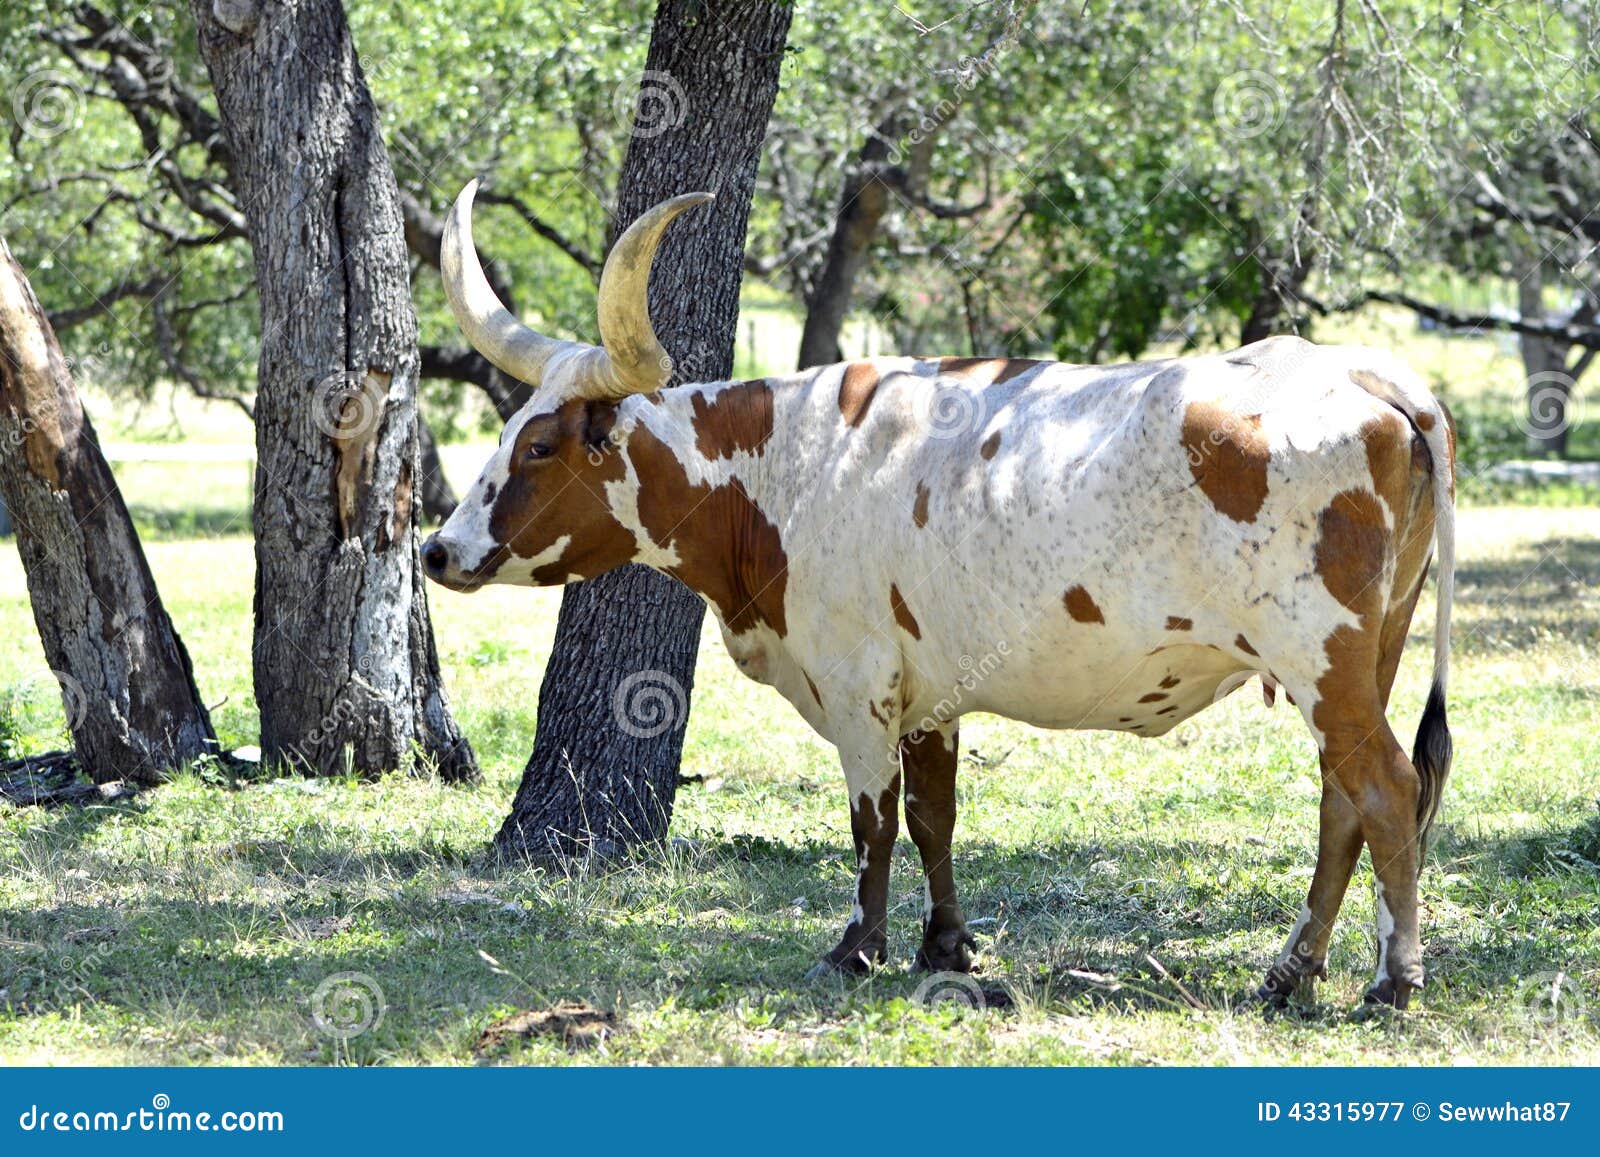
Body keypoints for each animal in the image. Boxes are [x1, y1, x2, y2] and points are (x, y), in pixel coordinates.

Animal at [421, 181, 1456, 1009]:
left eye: (539, 446)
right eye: (507, 429)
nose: (438, 548)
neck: (785, 464)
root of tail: (1369, 373)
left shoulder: (855, 680)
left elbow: (872, 819)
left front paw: (856, 947)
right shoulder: (929, 687)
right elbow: (933, 815)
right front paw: (945, 945)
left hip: (1323, 657)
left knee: (1387, 787)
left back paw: (1391, 980)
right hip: (1369, 651)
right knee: (1343, 800)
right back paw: (1291, 970)